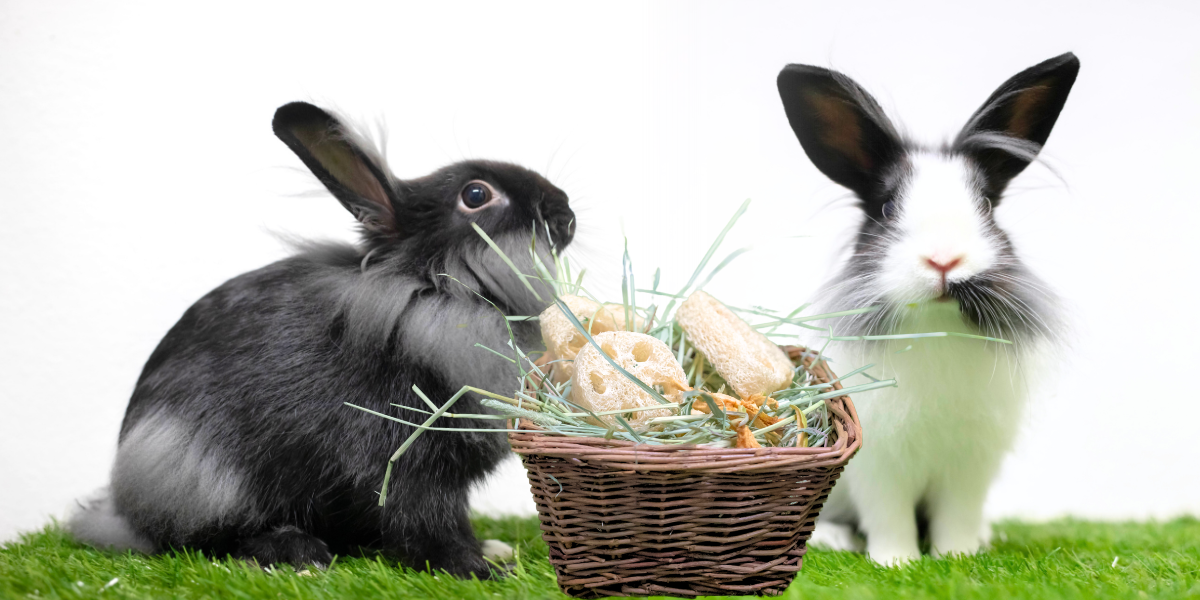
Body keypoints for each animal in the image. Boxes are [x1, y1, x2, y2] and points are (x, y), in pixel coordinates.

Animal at [66, 101, 575, 578]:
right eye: (476, 194)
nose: (566, 210)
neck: (429, 293)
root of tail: (121, 511)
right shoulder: (405, 466)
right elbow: (428, 522)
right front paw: (475, 569)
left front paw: (488, 552)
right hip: (199, 477)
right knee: (212, 535)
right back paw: (295, 552)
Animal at [776, 53, 1079, 565]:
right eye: (886, 208)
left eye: (986, 206)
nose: (943, 259)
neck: (935, 325)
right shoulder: (880, 468)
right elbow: (889, 518)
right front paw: (896, 562)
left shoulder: (969, 468)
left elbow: (955, 519)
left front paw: (957, 557)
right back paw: (834, 540)